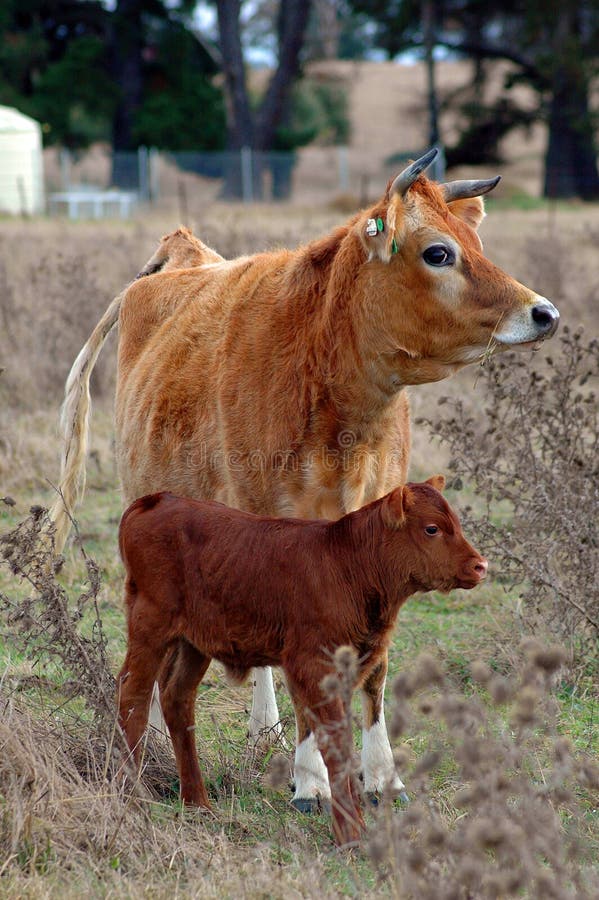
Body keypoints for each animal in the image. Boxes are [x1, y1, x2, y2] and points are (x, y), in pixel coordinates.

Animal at [117, 478, 488, 846]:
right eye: (431, 528)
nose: (480, 565)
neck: (350, 564)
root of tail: (156, 501)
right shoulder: (312, 666)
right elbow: (334, 745)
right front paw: (350, 833)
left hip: (193, 643)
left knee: (176, 698)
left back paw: (196, 803)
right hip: (150, 623)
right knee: (133, 695)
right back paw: (131, 798)